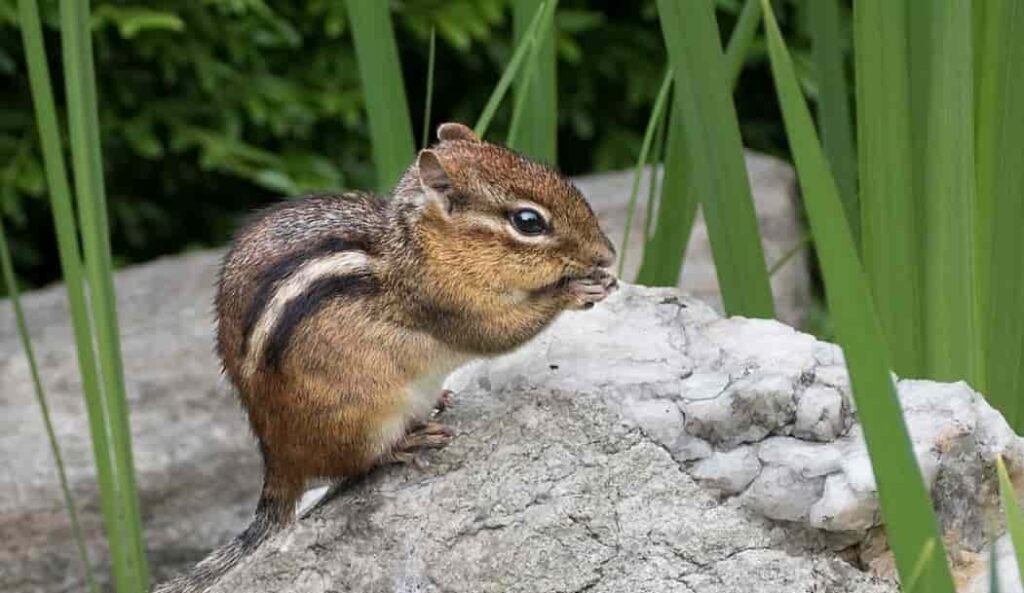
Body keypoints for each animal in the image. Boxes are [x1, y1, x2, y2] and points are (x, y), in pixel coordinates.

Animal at [154, 122, 617, 593]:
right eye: (528, 222)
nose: (608, 253)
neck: (422, 247)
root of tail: (278, 460)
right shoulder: (448, 303)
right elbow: (499, 333)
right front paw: (575, 290)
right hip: (363, 416)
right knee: (359, 464)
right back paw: (406, 441)